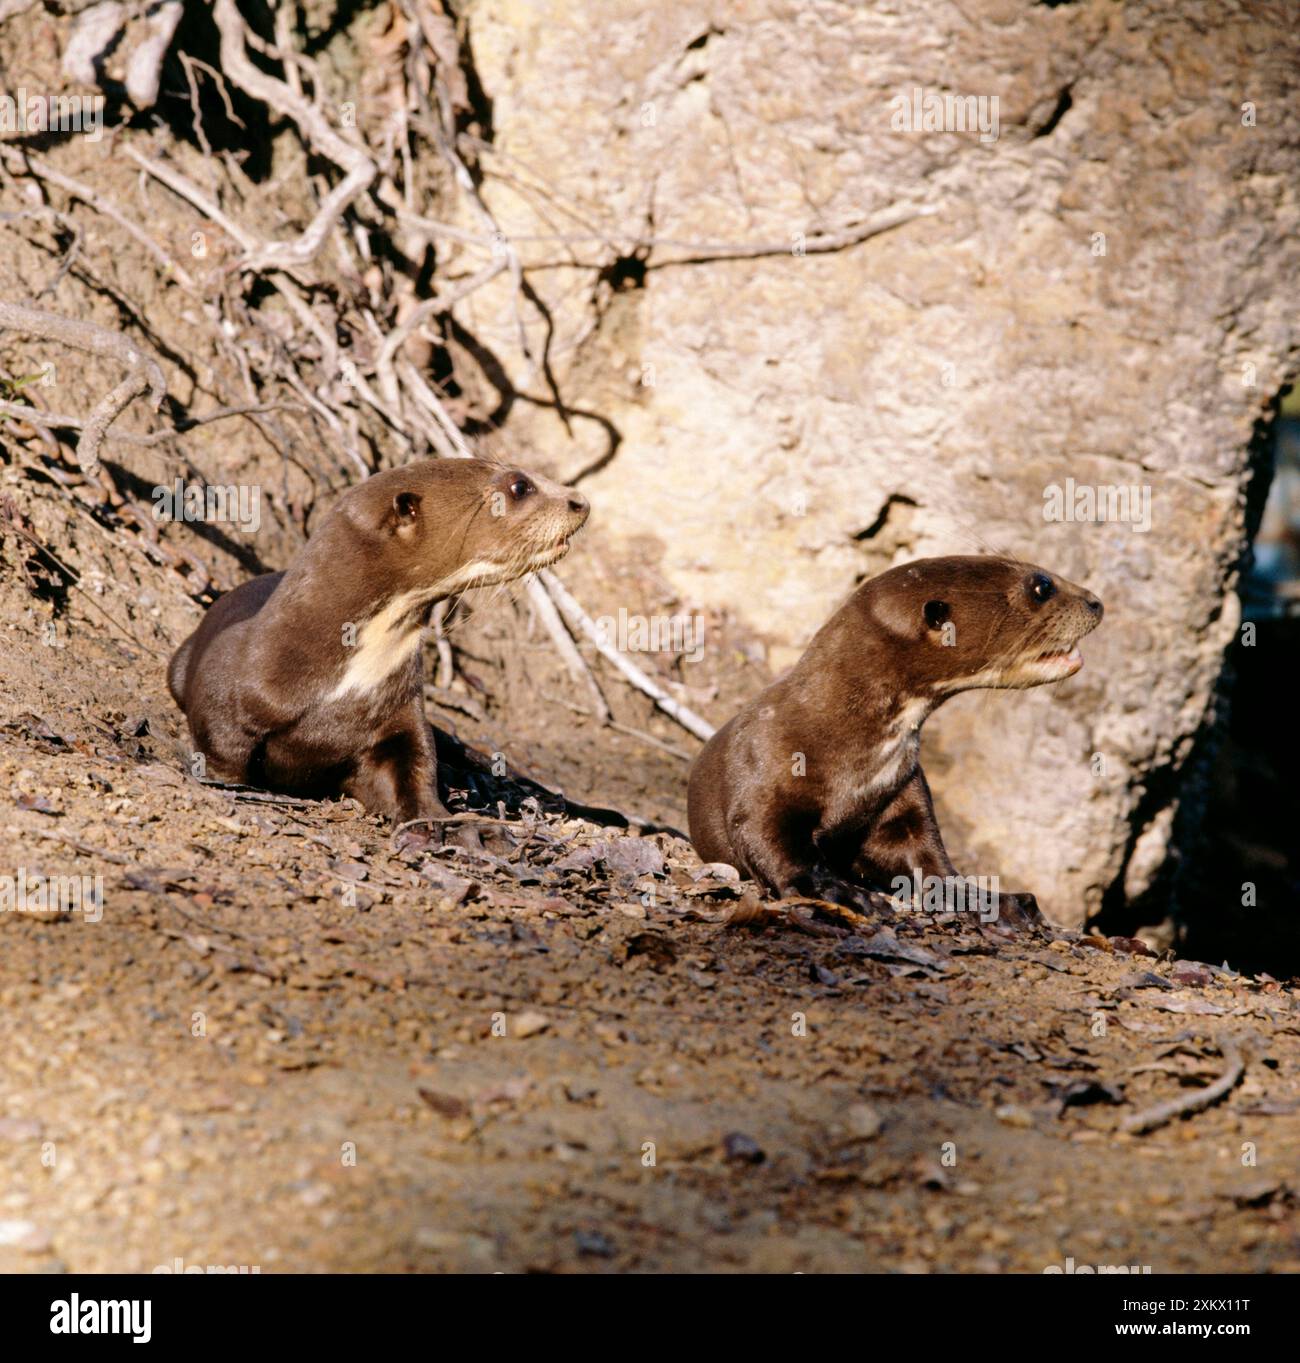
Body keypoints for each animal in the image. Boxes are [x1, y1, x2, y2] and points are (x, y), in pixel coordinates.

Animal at [168, 458, 588, 822]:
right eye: (520, 486)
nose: (580, 501)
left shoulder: (398, 714)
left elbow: (414, 766)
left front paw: (434, 819)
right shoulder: (225, 689)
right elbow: (223, 748)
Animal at [687, 556, 1103, 925]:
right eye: (1042, 586)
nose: (1096, 601)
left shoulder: (903, 788)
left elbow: (927, 856)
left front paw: (998, 901)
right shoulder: (762, 770)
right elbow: (771, 841)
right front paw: (843, 894)